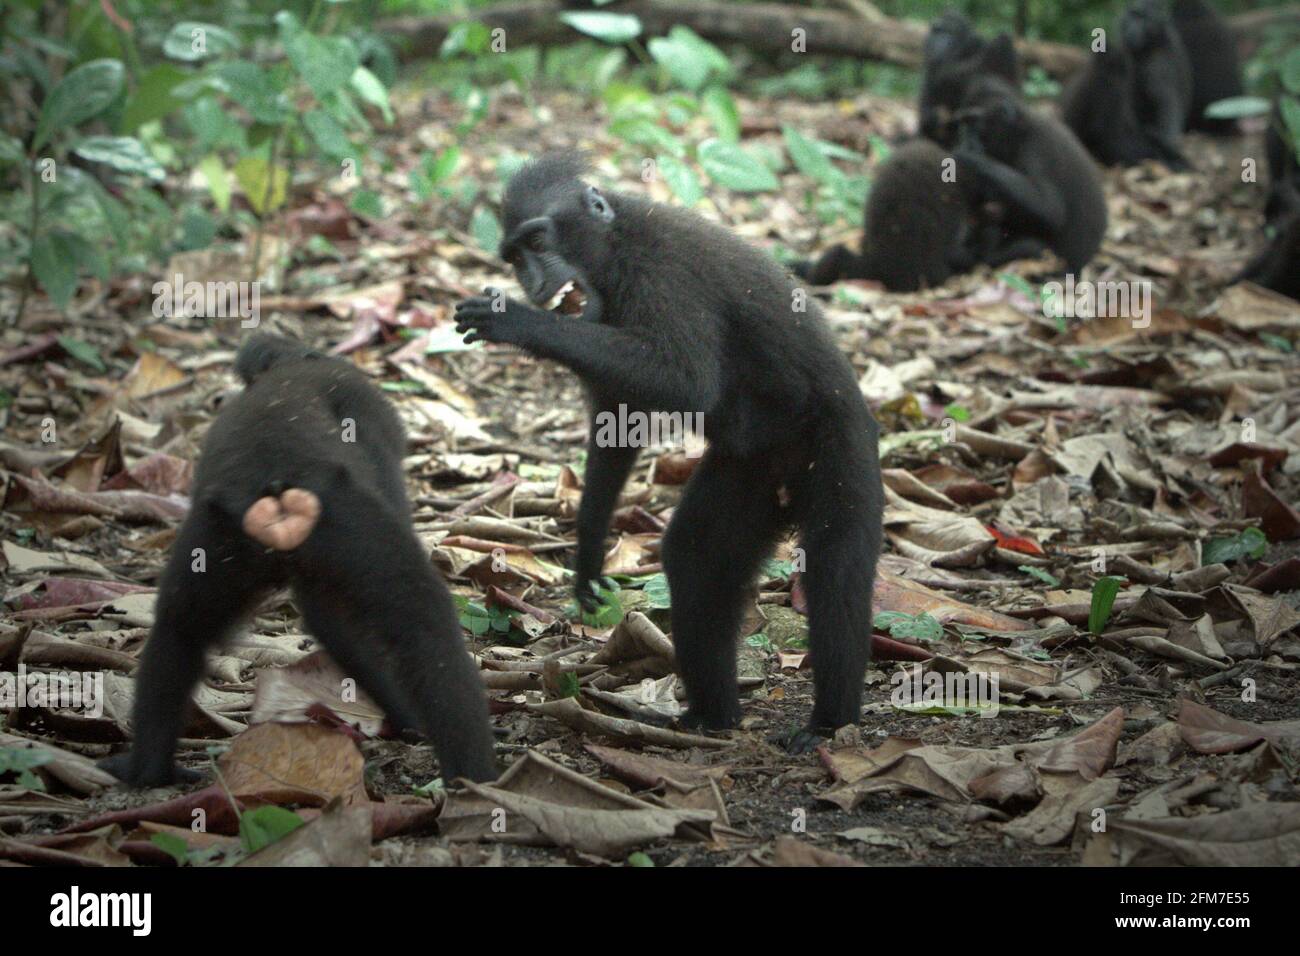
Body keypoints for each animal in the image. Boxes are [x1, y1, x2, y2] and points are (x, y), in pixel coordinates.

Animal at [99, 333, 499, 787]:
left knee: (179, 626)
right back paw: (472, 778)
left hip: (218, 537)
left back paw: (148, 769)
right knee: (422, 616)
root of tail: (276, 490)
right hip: (346, 517)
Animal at [454, 154, 883, 752]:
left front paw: (517, 320)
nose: (532, 281)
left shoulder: (659, 271)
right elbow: (621, 416)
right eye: (515, 256)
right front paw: (589, 547)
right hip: (750, 468)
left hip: (841, 443)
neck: (613, 244)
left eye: (538, 241)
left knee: (835, 566)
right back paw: (712, 716)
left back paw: (829, 723)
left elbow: (685, 381)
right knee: (696, 556)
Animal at [953, 75, 1108, 274]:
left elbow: (1050, 210)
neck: (1021, 131)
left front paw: (968, 158)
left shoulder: (1037, 147)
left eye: (974, 122)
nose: (966, 140)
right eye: (964, 124)